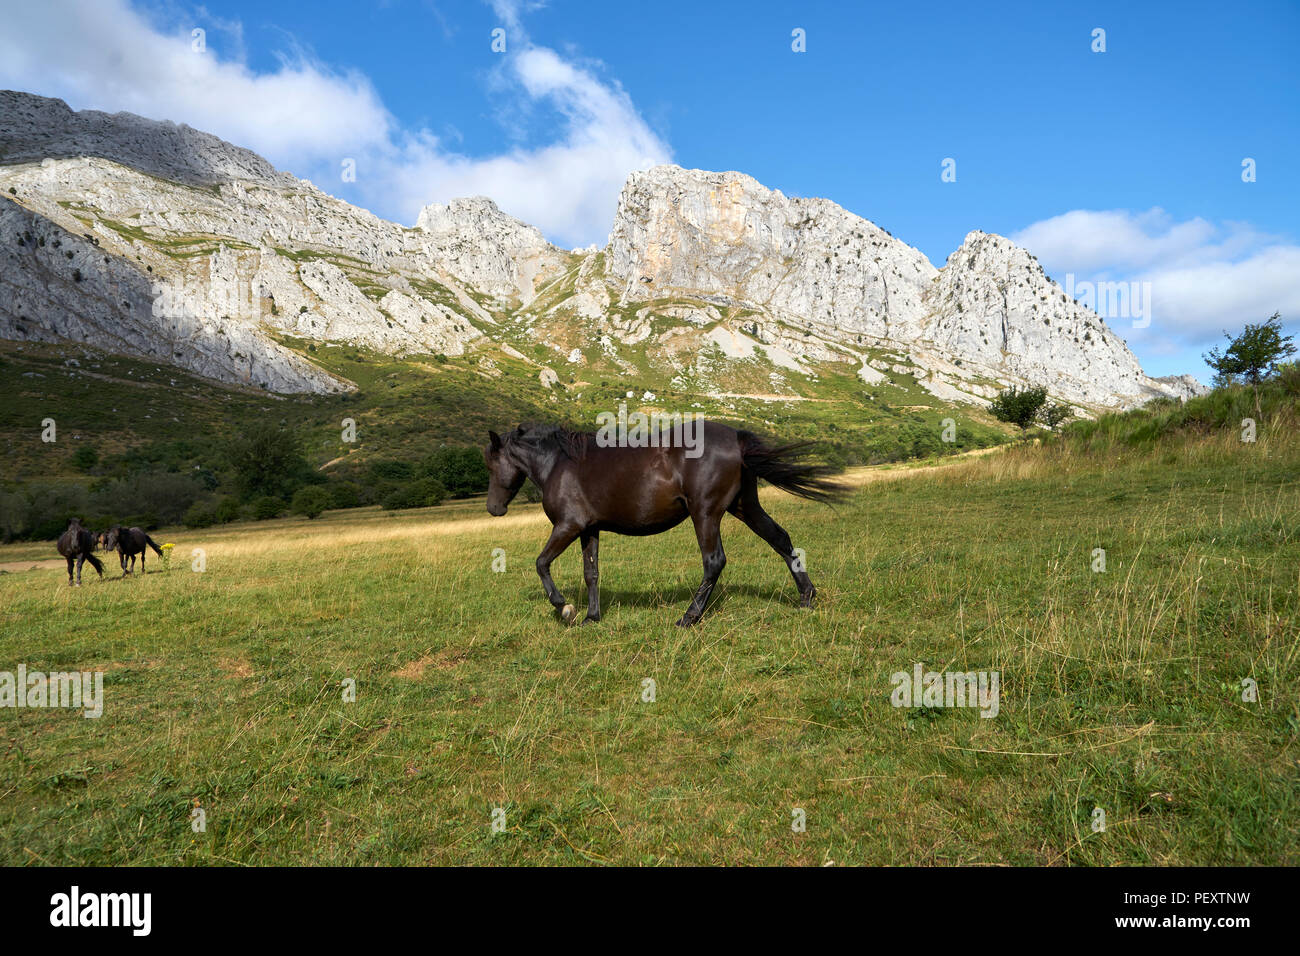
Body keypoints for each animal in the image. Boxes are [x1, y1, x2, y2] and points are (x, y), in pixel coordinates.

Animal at [483, 421, 845, 627]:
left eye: (491, 463)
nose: (493, 508)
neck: (559, 463)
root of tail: (736, 438)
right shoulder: (589, 529)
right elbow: (591, 573)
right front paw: (591, 617)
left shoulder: (567, 526)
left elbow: (541, 563)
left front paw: (564, 608)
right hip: (745, 506)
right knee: (780, 539)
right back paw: (806, 597)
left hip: (706, 513)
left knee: (714, 562)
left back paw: (689, 618)